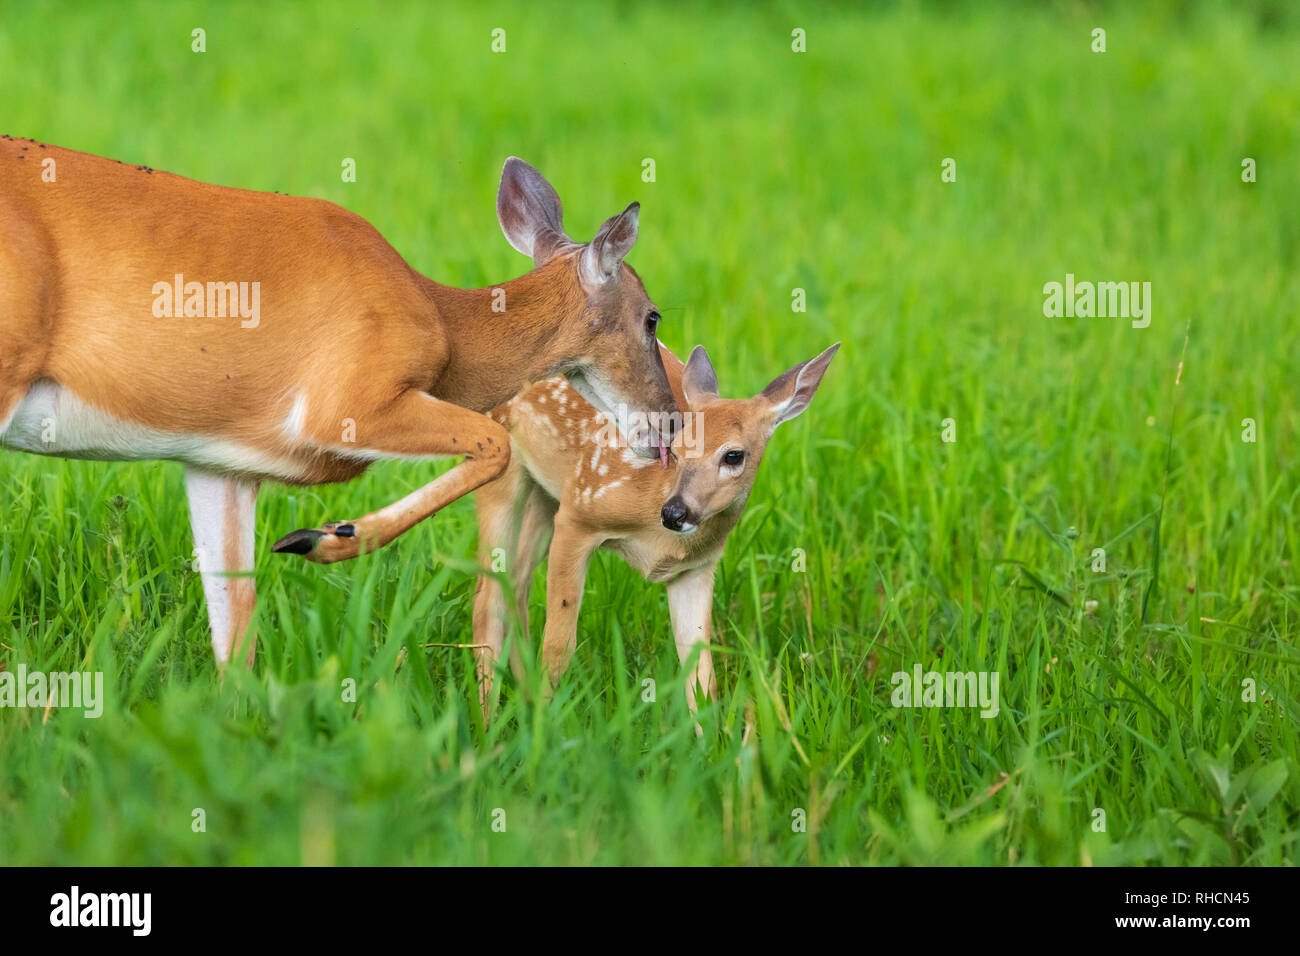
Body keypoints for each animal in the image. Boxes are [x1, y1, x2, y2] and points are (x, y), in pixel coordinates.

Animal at [0, 137, 679, 667]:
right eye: (652, 318)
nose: (670, 425)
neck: (443, 321)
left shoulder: (219, 461)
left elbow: (234, 627)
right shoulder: (346, 399)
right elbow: (496, 442)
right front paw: (325, 537)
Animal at [473, 339, 838, 721]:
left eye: (734, 455)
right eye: (675, 450)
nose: (675, 513)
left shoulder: (697, 567)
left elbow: (700, 673)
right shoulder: (579, 509)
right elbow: (560, 644)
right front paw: (547, 723)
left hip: (543, 493)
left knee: (516, 581)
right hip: (503, 466)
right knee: (487, 596)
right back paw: (487, 719)